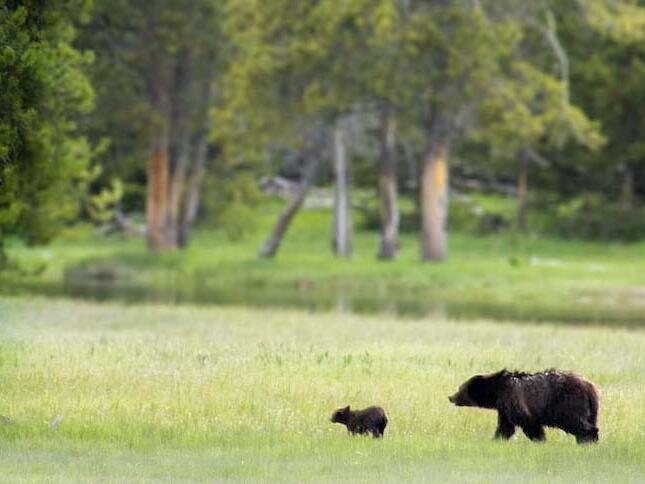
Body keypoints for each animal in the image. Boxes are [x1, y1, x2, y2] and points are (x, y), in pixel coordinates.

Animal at [449, 369, 599, 444]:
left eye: (460, 388)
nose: (451, 397)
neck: (497, 392)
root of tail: (590, 386)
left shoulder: (514, 399)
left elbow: (528, 422)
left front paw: (540, 440)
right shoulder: (504, 409)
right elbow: (505, 427)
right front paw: (496, 439)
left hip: (568, 403)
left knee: (577, 423)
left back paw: (588, 440)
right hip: (591, 409)